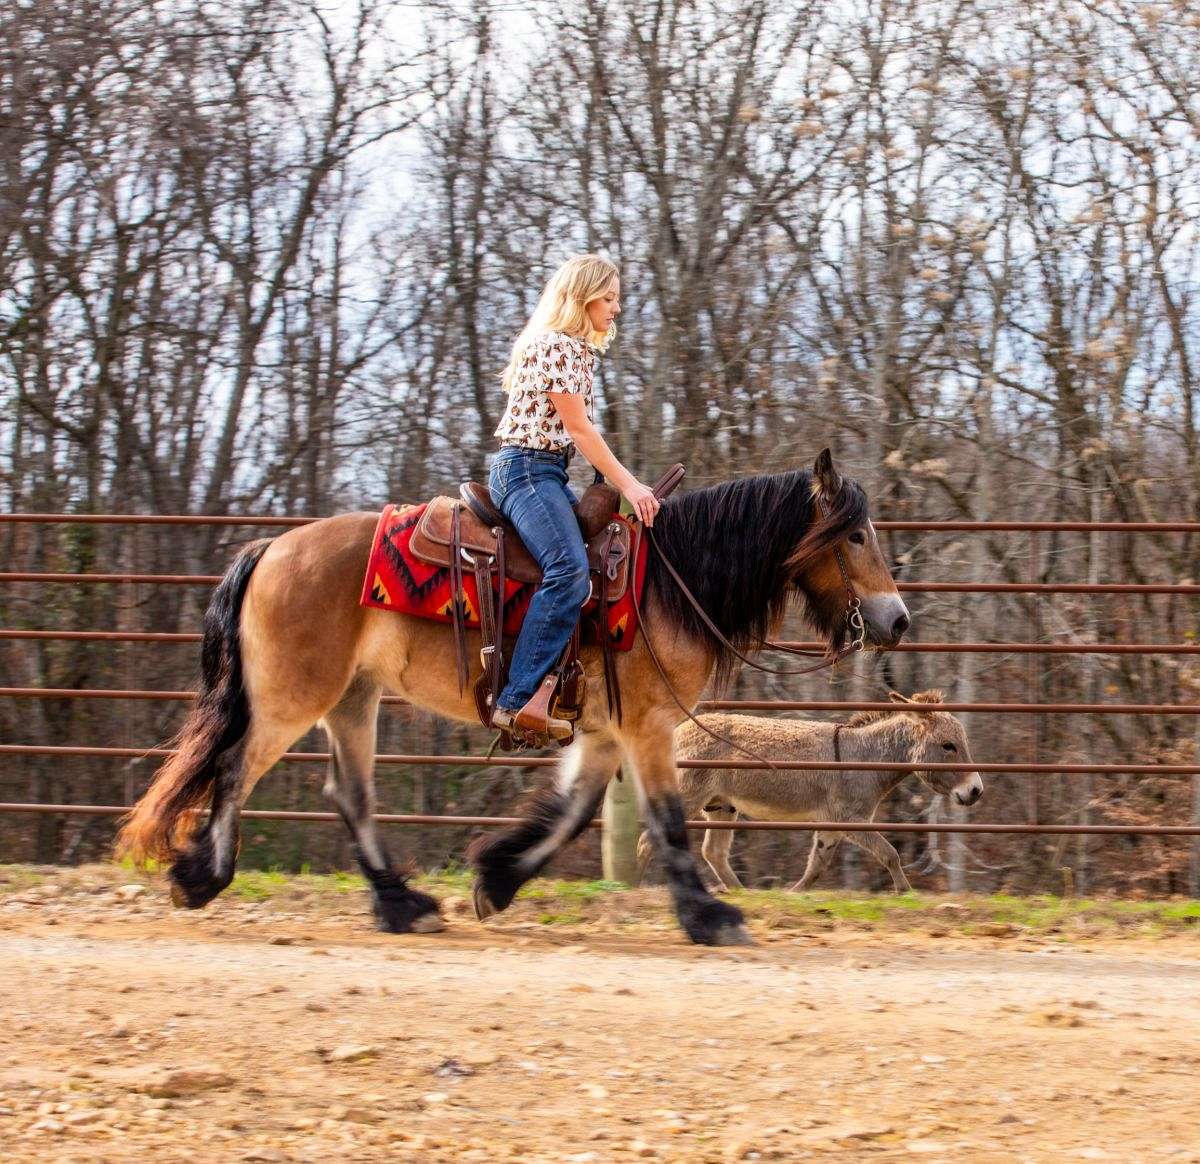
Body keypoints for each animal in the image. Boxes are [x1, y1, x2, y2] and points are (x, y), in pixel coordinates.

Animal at [117, 449, 910, 946]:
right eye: (857, 536)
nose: (897, 620)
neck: (670, 582)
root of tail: (271, 550)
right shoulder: (647, 726)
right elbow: (668, 822)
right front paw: (710, 918)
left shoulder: (605, 730)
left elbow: (573, 812)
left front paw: (496, 881)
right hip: (294, 696)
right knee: (234, 770)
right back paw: (201, 878)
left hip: (352, 699)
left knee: (351, 795)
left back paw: (402, 905)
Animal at [636, 690, 984, 893]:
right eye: (948, 746)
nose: (976, 791)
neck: (865, 755)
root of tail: (679, 729)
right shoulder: (851, 820)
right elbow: (890, 853)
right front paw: (906, 893)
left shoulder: (831, 825)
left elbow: (817, 865)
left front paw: (793, 895)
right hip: (689, 796)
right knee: (649, 840)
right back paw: (637, 886)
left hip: (722, 806)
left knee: (714, 852)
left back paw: (740, 893)